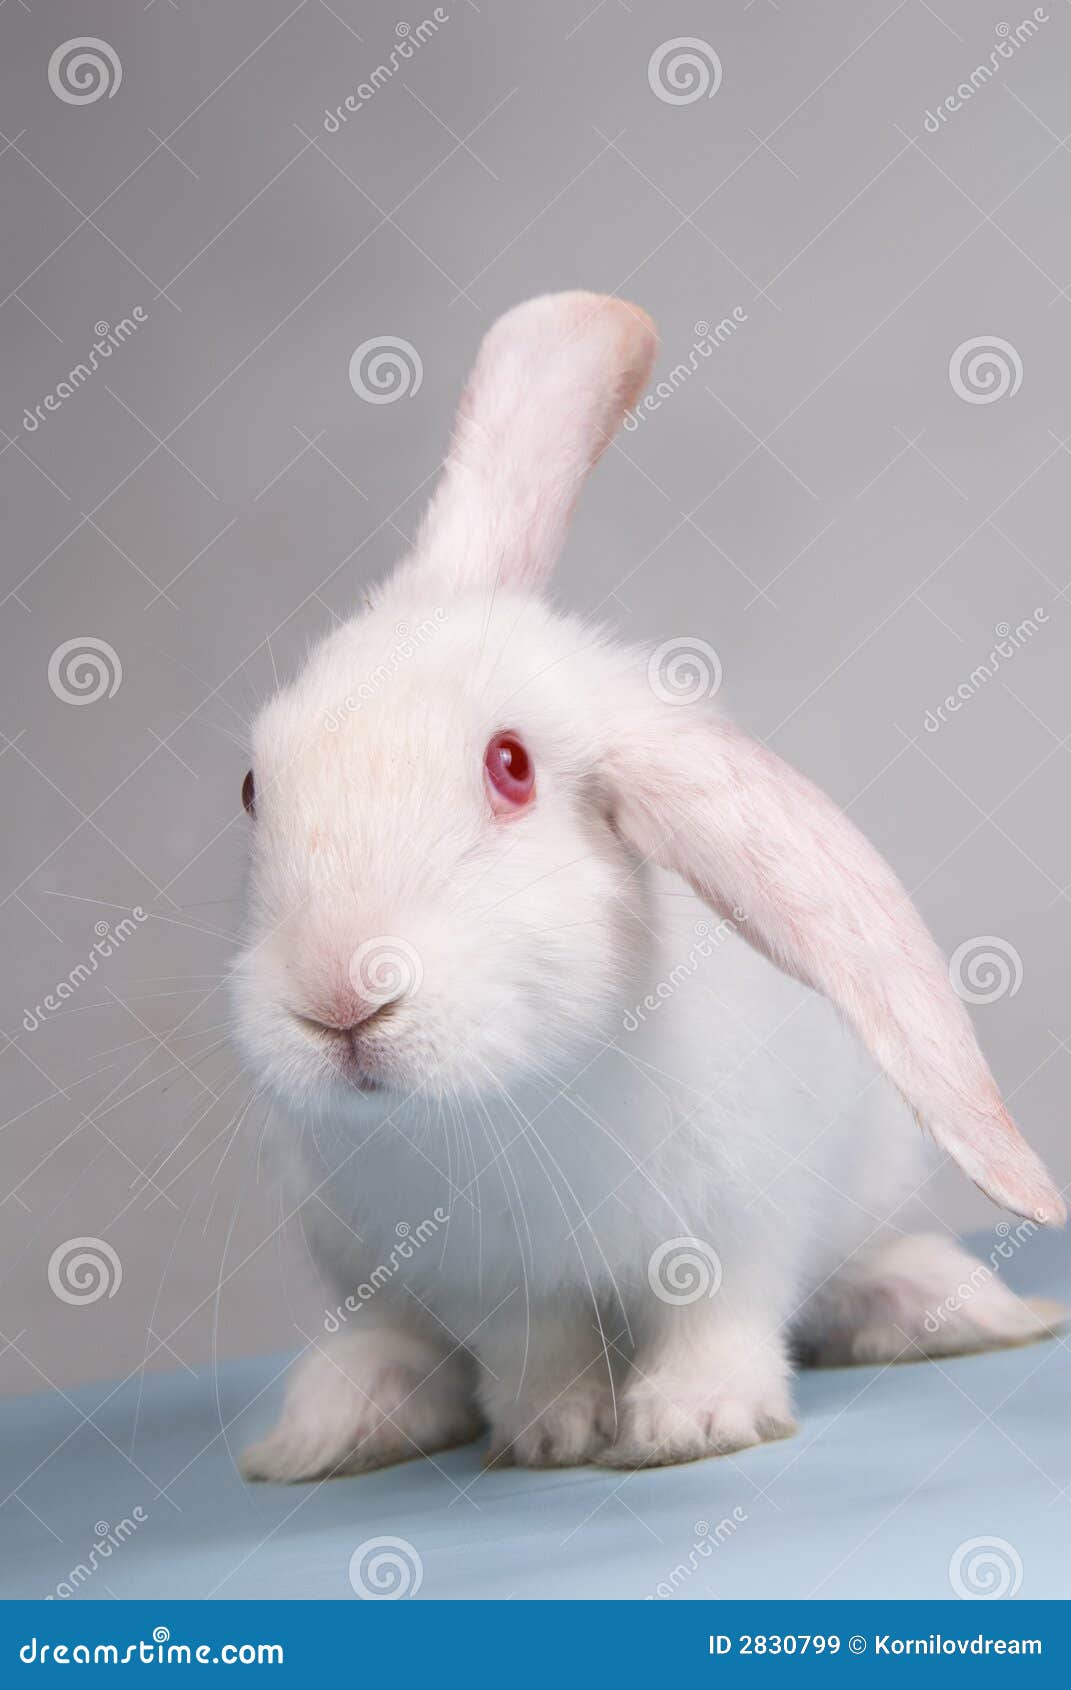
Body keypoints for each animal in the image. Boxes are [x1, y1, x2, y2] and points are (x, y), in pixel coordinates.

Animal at [233, 291, 1064, 1481]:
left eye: (511, 767)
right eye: (253, 786)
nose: (338, 999)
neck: (518, 1098)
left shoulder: (741, 1218)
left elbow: (721, 1314)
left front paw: (694, 1424)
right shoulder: (479, 1277)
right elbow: (531, 1348)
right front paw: (552, 1436)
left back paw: (944, 1308)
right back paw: (336, 1426)